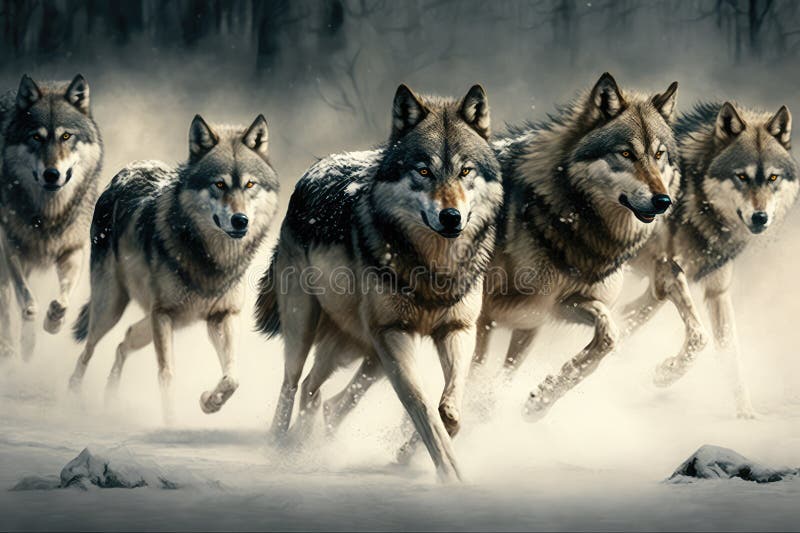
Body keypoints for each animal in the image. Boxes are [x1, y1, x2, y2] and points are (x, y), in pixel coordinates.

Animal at [0, 74, 102, 360]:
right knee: (6, 304)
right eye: (36, 137)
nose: (51, 174)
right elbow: (28, 303)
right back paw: (8, 347)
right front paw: (28, 344)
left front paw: (53, 322)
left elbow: (62, 301)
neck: (49, 214)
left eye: (66, 136)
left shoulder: (73, 249)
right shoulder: (11, 248)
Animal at [68, 114, 278, 422]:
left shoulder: (222, 316)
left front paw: (209, 402)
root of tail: (126, 171)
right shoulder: (164, 314)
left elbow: (232, 378)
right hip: (111, 308)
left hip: (154, 322)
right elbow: (167, 375)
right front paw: (170, 423)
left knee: (124, 340)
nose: (240, 220)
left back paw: (110, 400)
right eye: (219, 185)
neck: (211, 259)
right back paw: (72, 399)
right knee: (87, 350)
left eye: (250, 184)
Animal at [254, 84, 502, 481]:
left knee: (318, 391)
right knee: (292, 384)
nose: (451, 217)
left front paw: (411, 451)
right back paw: (280, 447)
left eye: (465, 170)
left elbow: (450, 411)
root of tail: (308, 173)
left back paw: (307, 444)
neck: (434, 269)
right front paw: (450, 474)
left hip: (361, 351)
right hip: (311, 329)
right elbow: (423, 410)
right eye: (423, 170)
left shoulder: (457, 329)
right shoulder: (395, 333)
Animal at [471, 73, 680, 422]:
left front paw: (541, 400)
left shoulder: (557, 305)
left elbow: (608, 335)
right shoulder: (486, 315)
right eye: (626, 154)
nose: (663, 201)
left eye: (659, 154)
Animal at [623, 101, 798, 418]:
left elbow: (731, 353)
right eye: (741, 176)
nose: (760, 217)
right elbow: (699, 338)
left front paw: (746, 415)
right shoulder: (668, 271)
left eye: (773, 178)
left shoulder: (714, 290)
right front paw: (665, 374)